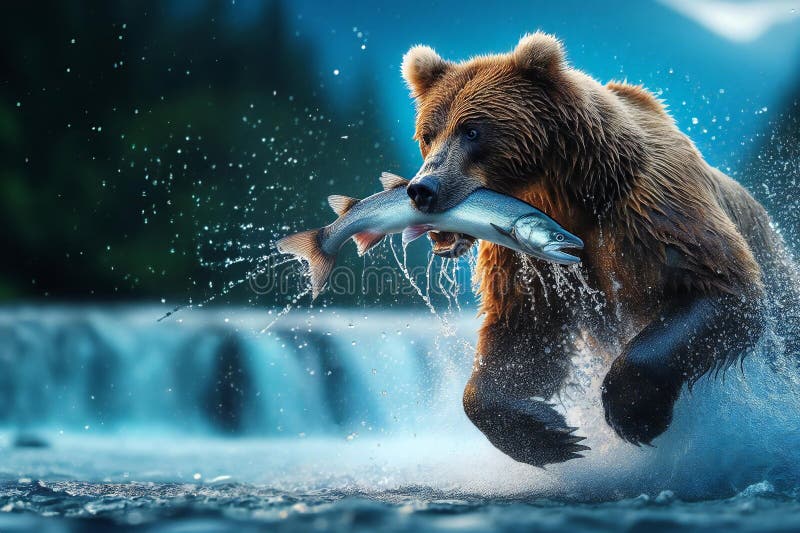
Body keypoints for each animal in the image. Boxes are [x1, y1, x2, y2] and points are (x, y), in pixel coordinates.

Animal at [400, 32, 800, 466]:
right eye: (428, 134)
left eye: (472, 130)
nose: (423, 188)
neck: (570, 192)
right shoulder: (528, 258)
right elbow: (522, 335)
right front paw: (549, 433)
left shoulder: (654, 209)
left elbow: (723, 289)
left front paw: (634, 414)